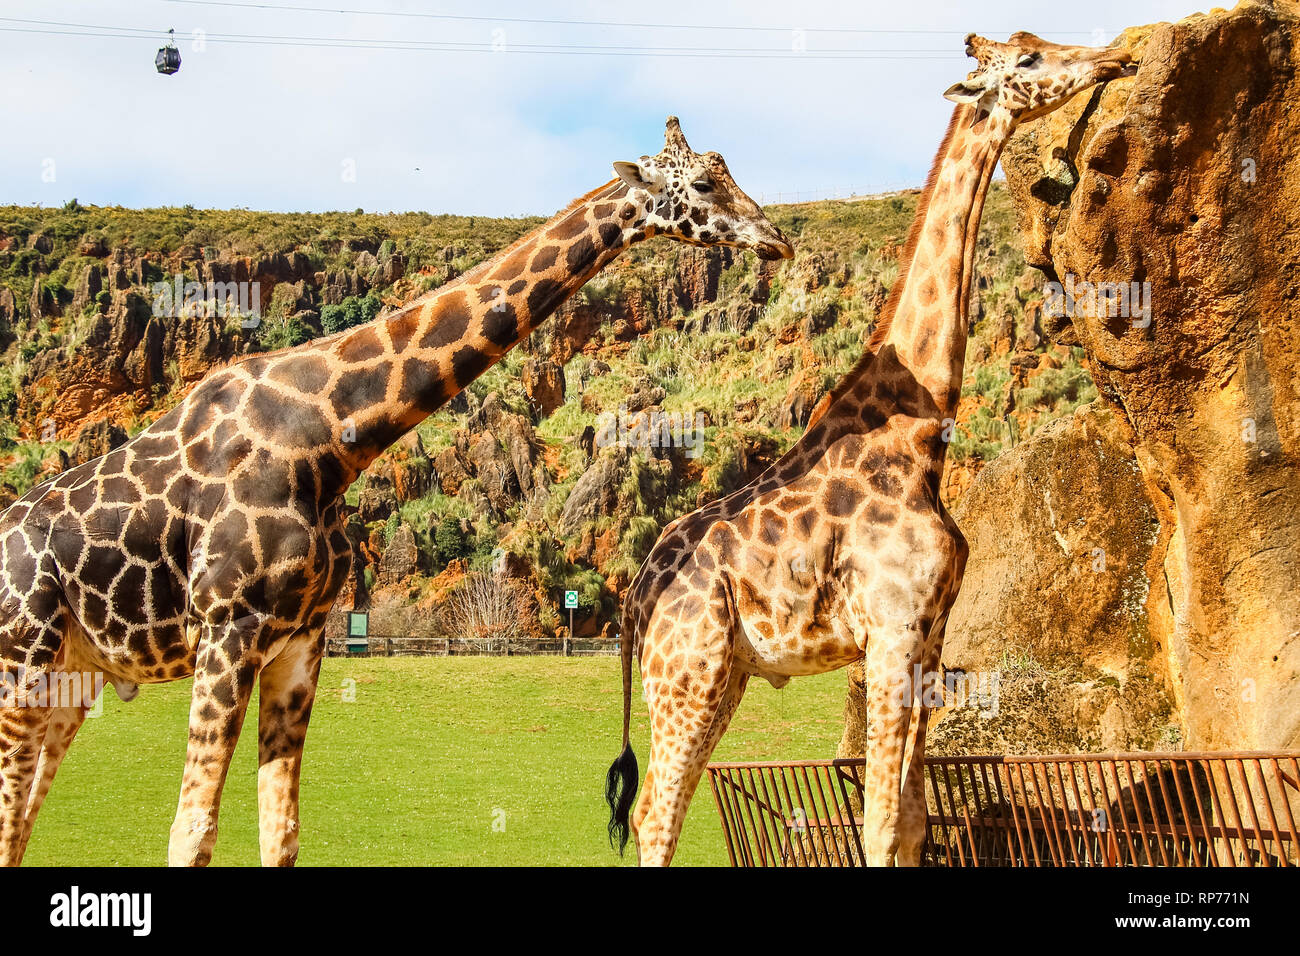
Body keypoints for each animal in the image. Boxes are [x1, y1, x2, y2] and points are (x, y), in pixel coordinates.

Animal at [0, 117, 792, 867]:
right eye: (702, 186)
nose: (776, 237)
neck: (327, 439)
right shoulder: (226, 630)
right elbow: (192, 830)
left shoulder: (298, 640)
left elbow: (282, 832)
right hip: (22, 658)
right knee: (14, 813)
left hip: (72, 675)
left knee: (24, 813)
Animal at [606, 35, 1136, 866]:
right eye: (1025, 57)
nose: (1113, 60)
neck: (921, 436)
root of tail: (634, 597)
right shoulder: (891, 628)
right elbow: (881, 820)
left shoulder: (929, 637)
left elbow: (913, 819)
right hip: (688, 667)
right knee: (657, 812)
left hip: (727, 672)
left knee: (659, 805)